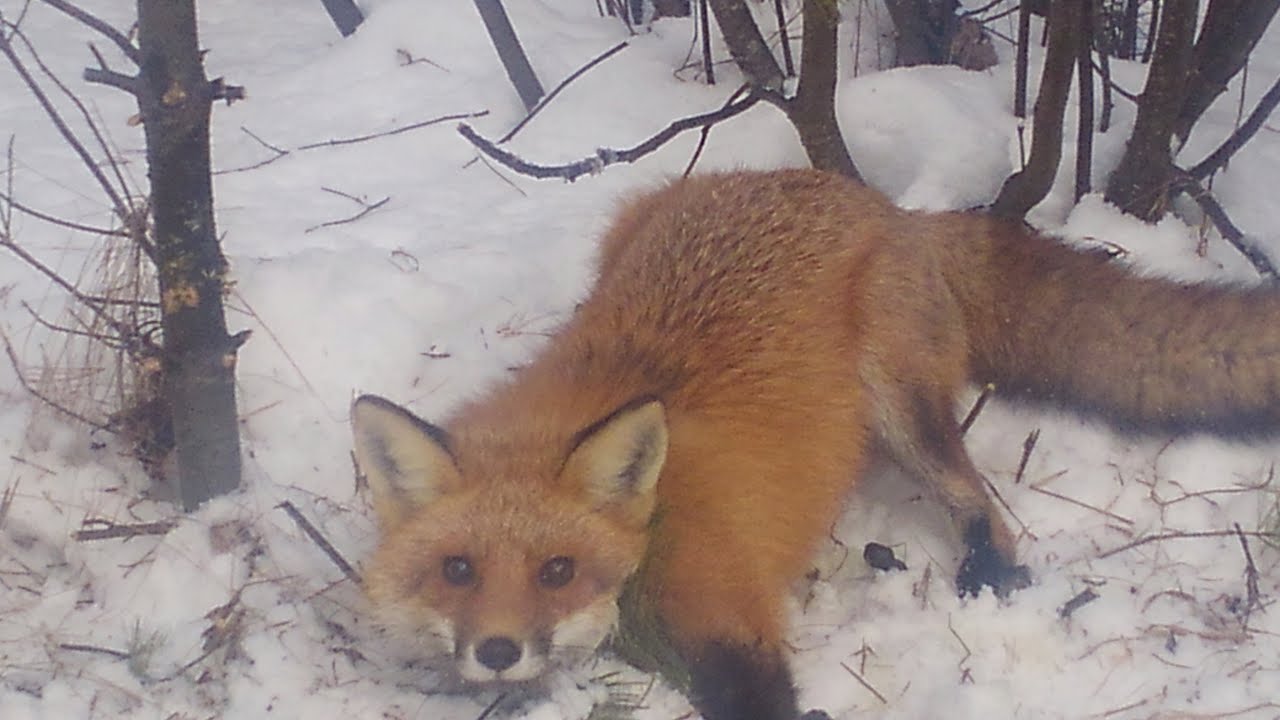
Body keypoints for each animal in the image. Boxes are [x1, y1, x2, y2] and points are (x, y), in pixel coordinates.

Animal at [350, 169, 1280, 720]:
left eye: (556, 570)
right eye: (458, 569)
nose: (497, 651)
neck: (651, 530)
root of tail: (881, 203)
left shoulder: (731, 619)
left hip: (896, 394)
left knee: (977, 495)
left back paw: (987, 566)